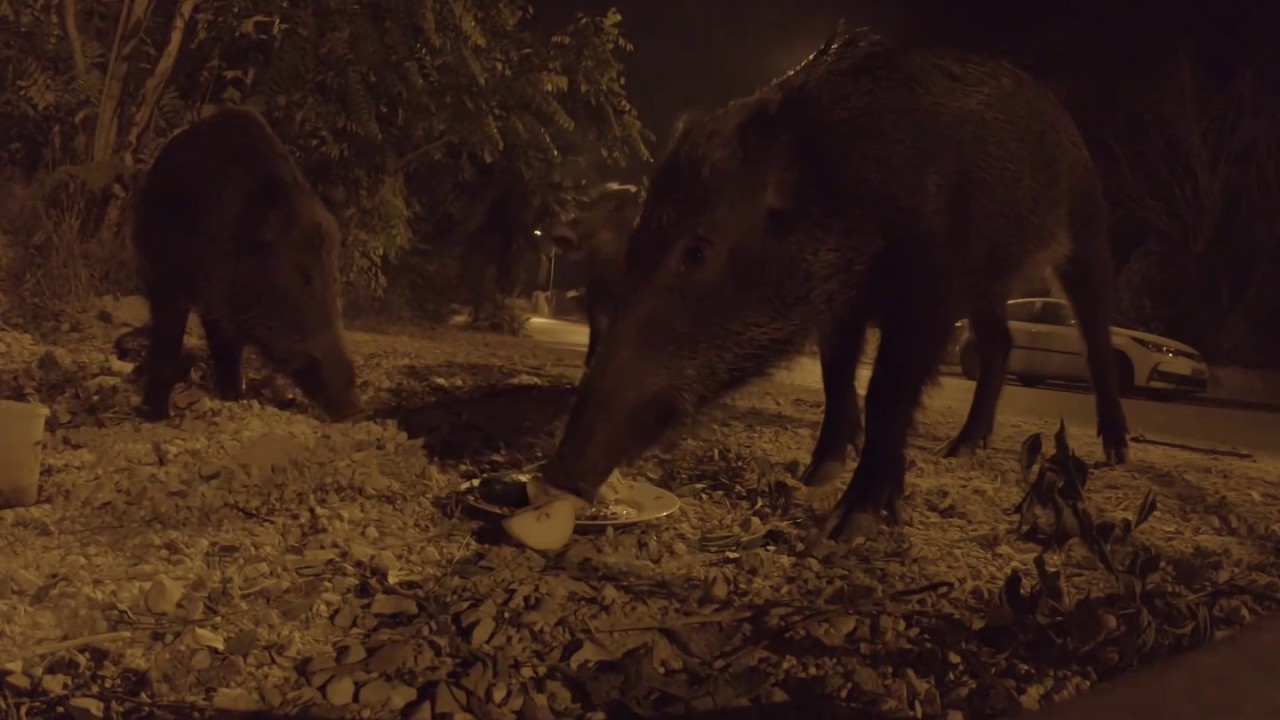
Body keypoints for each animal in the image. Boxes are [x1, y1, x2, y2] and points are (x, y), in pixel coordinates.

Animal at [131, 106, 362, 422]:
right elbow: (169, 337)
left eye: (335, 280)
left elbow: (229, 345)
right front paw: (154, 414)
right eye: (303, 277)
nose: (354, 407)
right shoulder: (171, 278)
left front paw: (234, 398)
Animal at [544, 183, 645, 366]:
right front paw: (589, 361)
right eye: (591, 203)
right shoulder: (595, 299)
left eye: (616, 207)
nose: (559, 232)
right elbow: (597, 327)